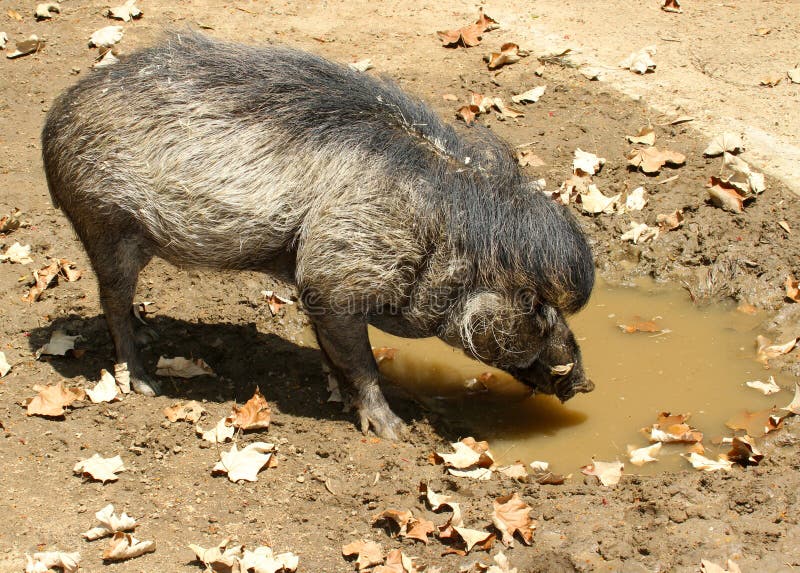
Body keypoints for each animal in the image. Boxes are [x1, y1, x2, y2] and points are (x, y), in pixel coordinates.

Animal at [41, 31, 595, 439]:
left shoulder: (318, 286)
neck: (440, 232)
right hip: (106, 223)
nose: (587, 382)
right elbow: (364, 363)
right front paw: (394, 434)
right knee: (112, 301)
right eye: (536, 305)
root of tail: (58, 115)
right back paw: (145, 384)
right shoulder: (334, 276)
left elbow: (339, 357)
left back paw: (150, 334)